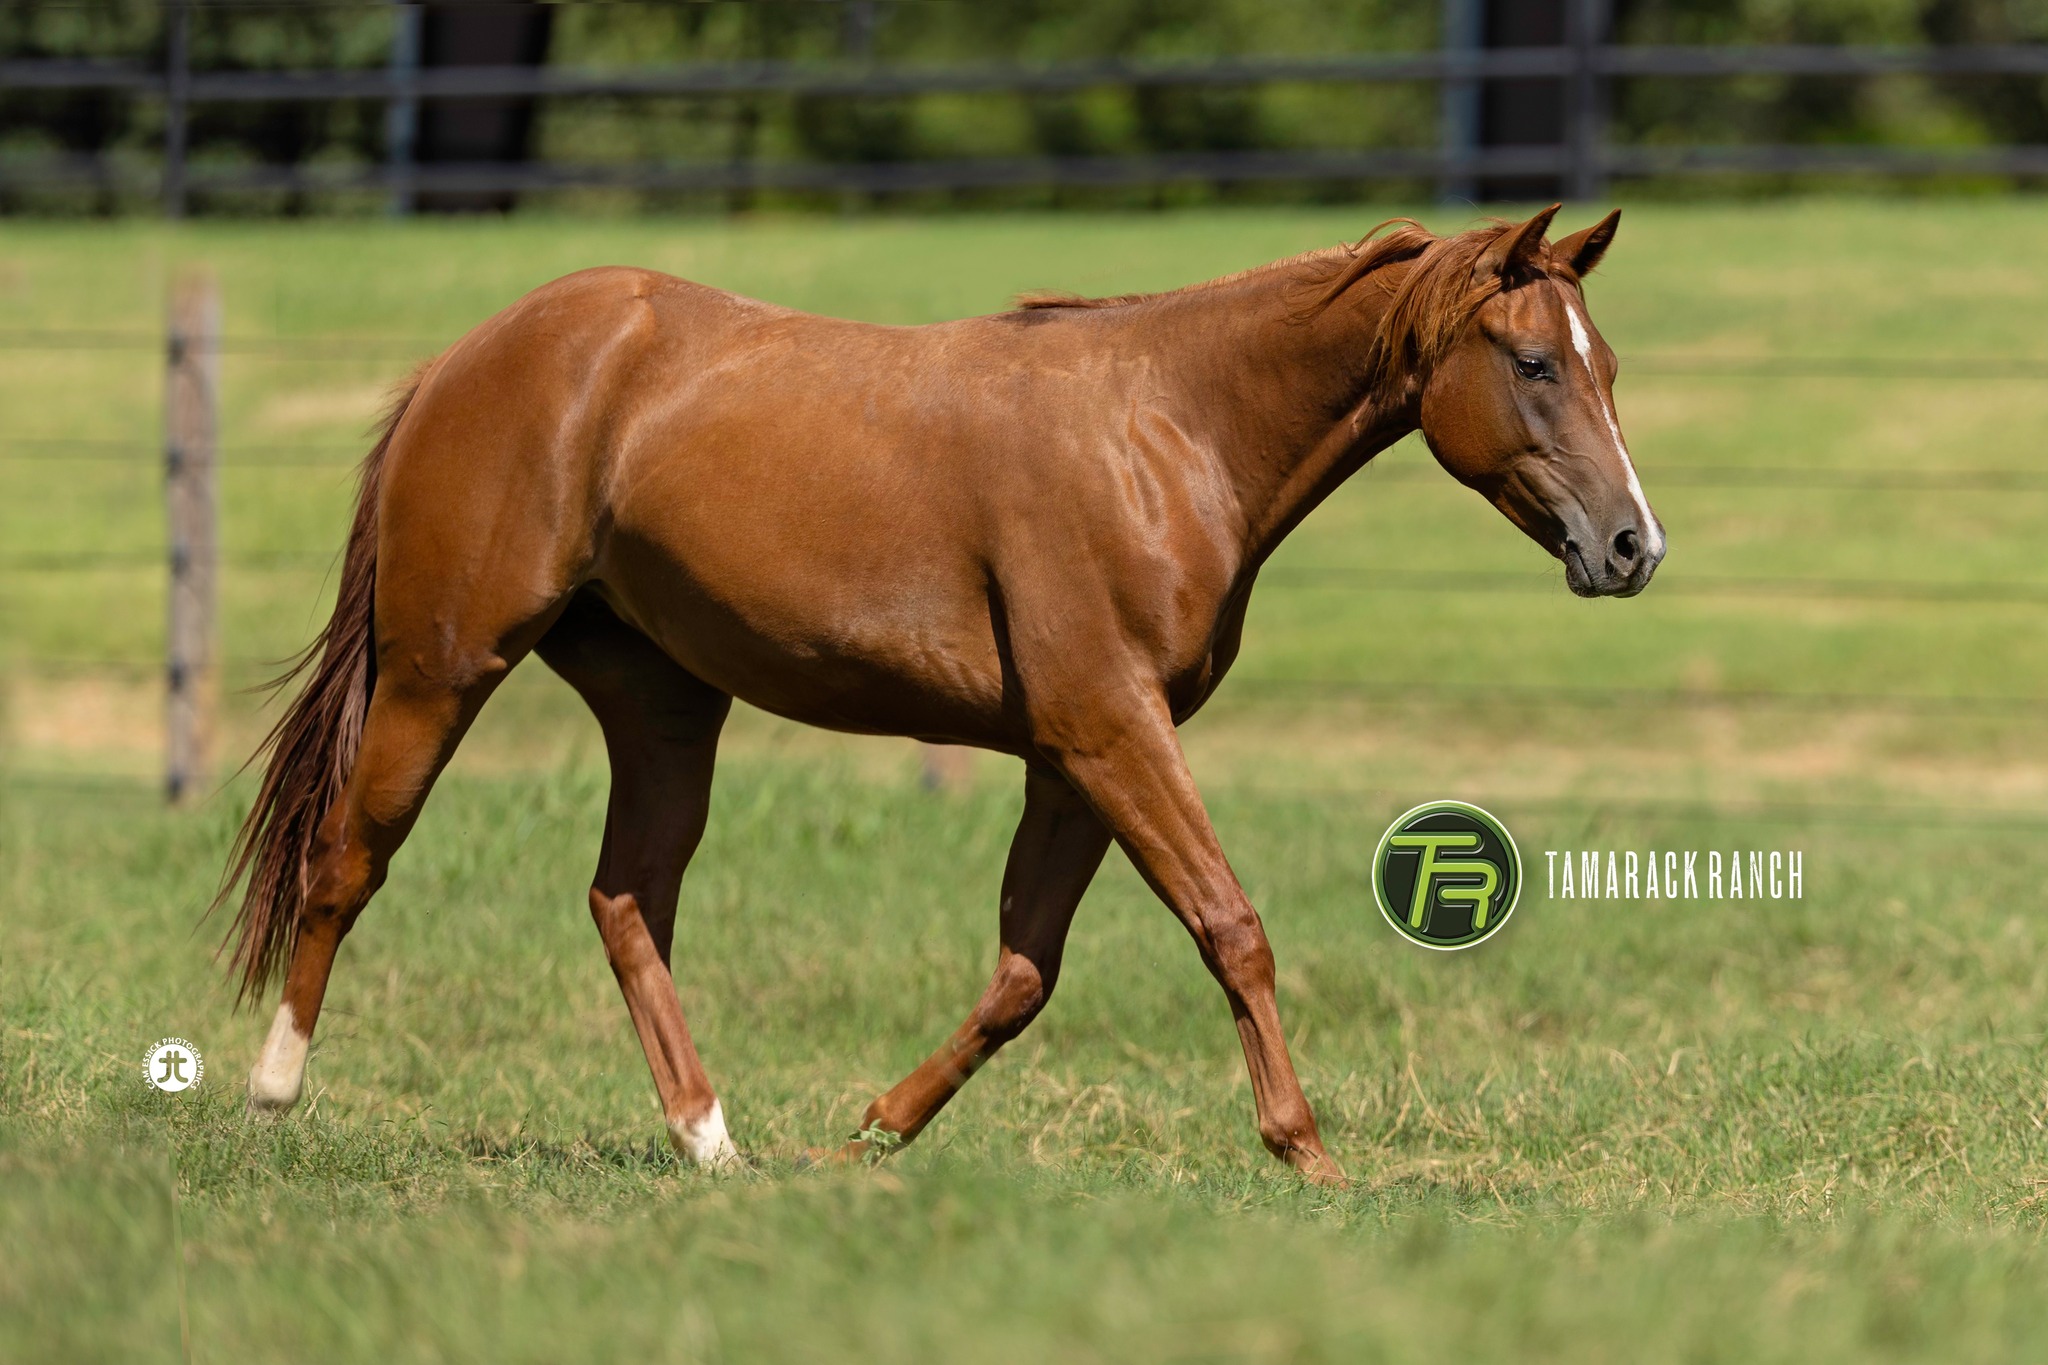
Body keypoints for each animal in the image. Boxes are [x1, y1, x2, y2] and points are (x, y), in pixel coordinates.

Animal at [216, 204, 1663, 1185]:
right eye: (1533, 365)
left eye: (1605, 364)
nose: (1631, 547)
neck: (1169, 431)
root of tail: (468, 359)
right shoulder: (1110, 731)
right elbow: (1229, 925)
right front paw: (1304, 1152)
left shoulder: (1072, 757)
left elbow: (1024, 972)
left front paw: (872, 1130)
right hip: (440, 669)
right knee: (347, 858)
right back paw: (270, 1095)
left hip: (666, 707)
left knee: (628, 900)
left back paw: (710, 1139)